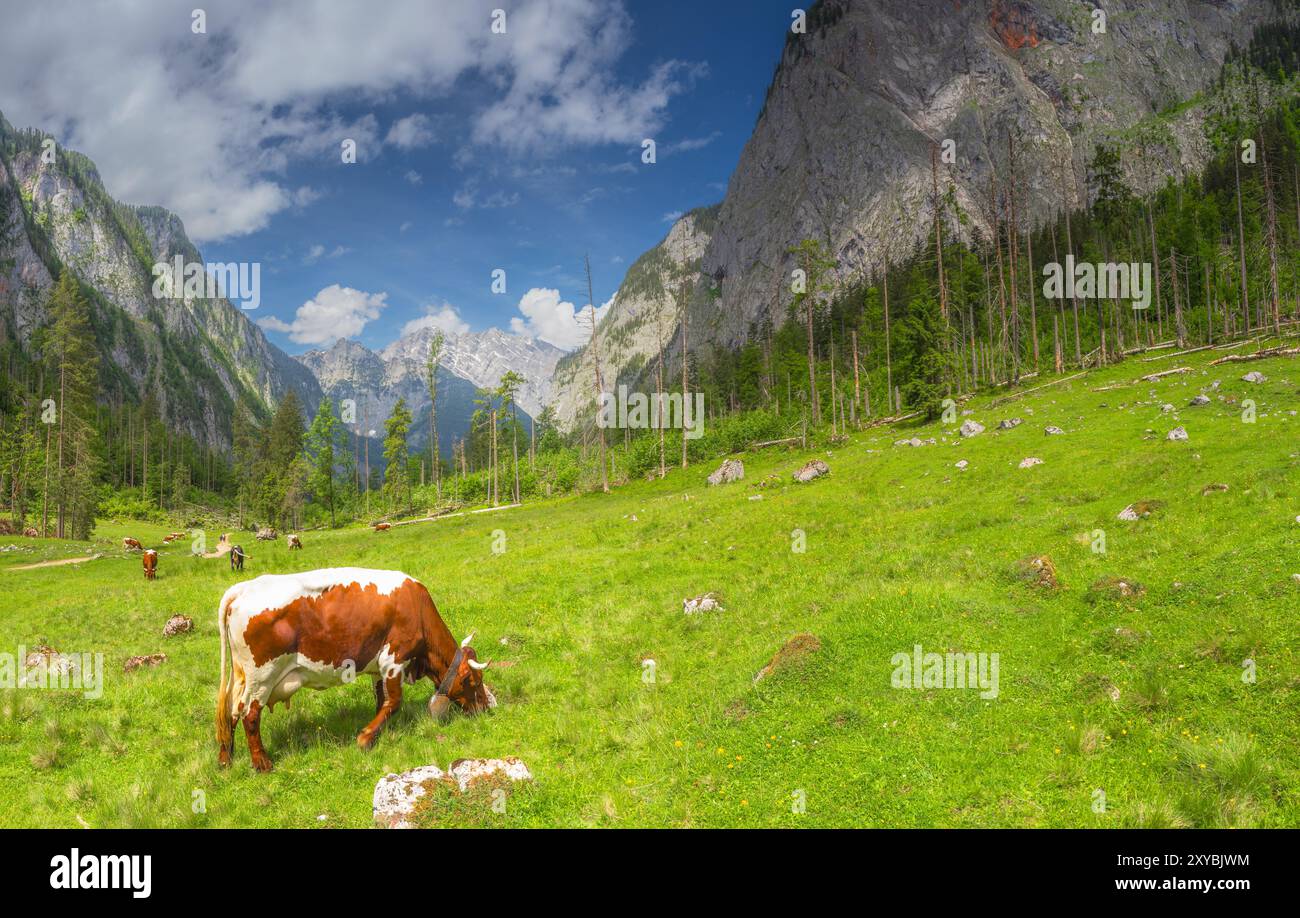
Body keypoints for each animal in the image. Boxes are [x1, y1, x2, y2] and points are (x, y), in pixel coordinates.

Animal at [215, 568, 493, 772]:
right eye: (473, 680)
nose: (485, 708)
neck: (417, 607)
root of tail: (243, 588)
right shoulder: (393, 659)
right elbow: (394, 701)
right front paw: (365, 739)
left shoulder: (378, 667)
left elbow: (382, 700)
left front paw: (380, 734)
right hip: (262, 676)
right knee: (250, 714)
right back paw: (262, 763)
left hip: (242, 676)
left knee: (231, 711)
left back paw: (226, 758)